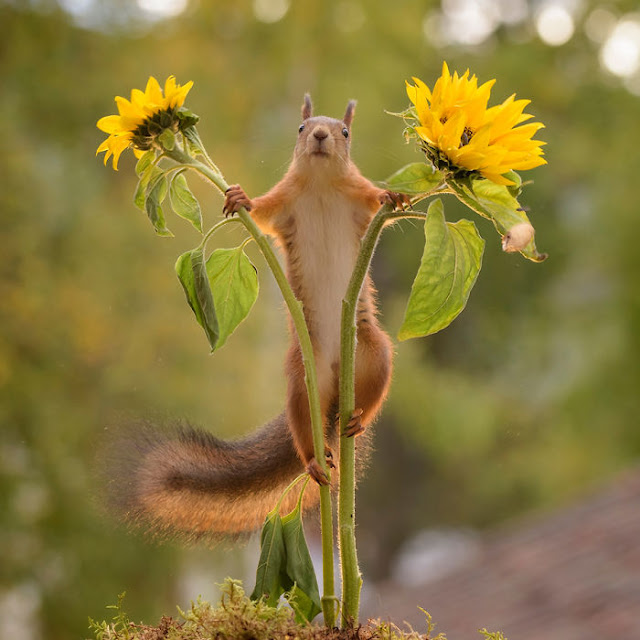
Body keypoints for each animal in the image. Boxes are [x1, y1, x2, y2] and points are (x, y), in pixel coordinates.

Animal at [105, 95, 402, 540]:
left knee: (373, 391)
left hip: (373, 349)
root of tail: (335, 385)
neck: (320, 183)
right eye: (301, 128)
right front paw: (240, 199)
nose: (319, 135)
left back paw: (358, 420)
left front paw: (393, 196)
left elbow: (377, 202)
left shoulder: (358, 196)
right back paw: (313, 460)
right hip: (301, 377)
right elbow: (260, 212)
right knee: (303, 424)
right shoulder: (284, 202)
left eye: (346, 132)